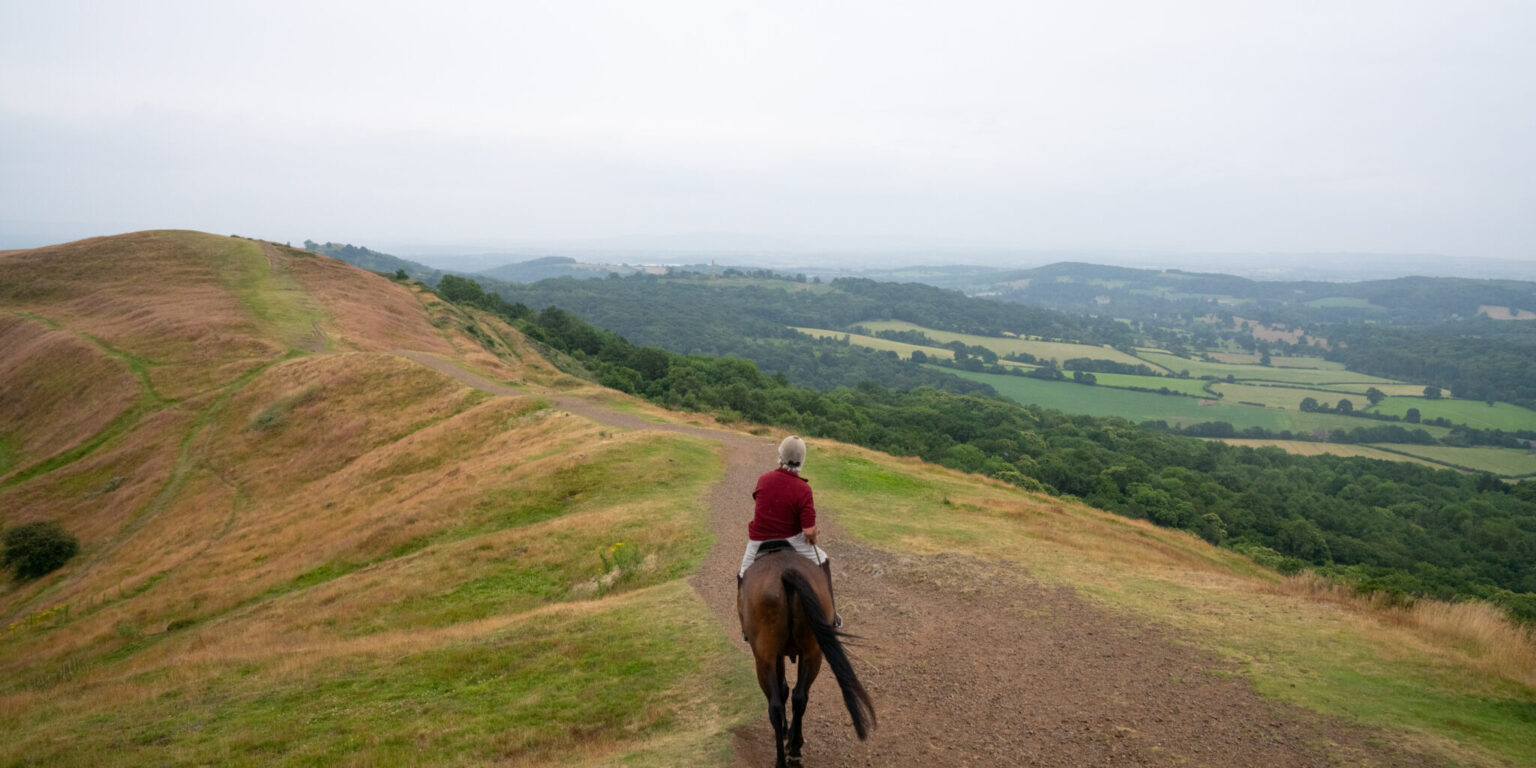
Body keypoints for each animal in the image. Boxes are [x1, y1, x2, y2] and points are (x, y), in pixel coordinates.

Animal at [737, 542, 875, 767]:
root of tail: (785, 571)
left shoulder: (775, 655)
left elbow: (783, 689)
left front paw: (787, 733)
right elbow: (790, 691)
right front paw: (792, 737)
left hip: (765, 657)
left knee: (777, 704)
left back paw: (783, 757)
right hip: (812, 652)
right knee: (799, 697)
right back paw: (793, 749)